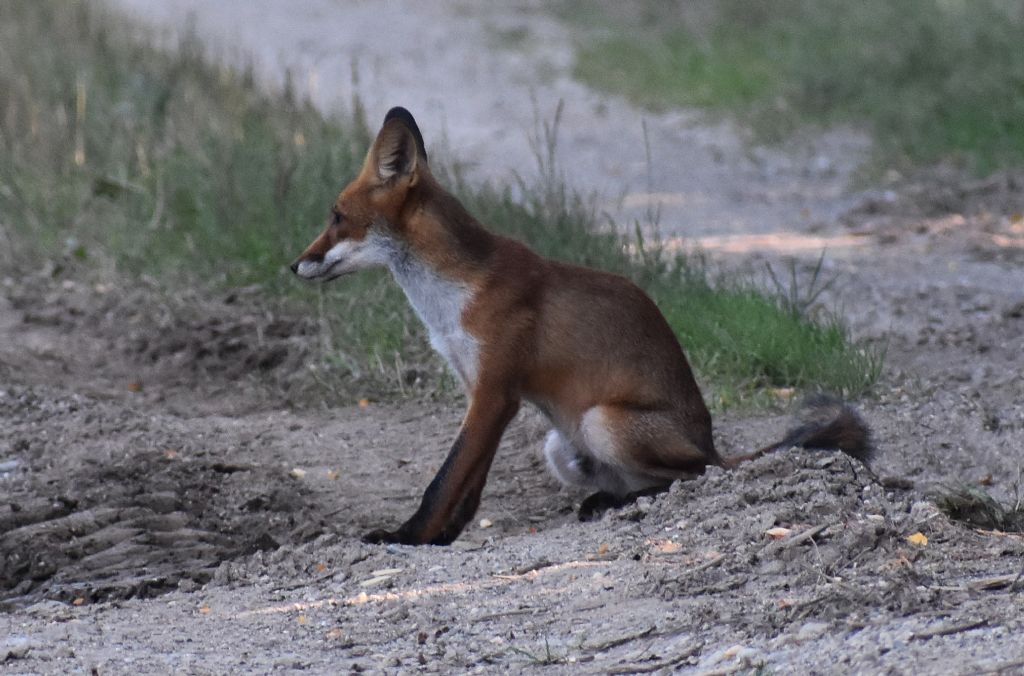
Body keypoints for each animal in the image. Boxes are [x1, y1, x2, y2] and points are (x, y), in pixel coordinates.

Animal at [290, 107, 872, 546]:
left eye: (337, 217)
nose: (294, 265)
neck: (451, 297)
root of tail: (710, 443)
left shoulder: (495, 390)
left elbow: (445, 479)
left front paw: (406, 538)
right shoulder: (483, 391)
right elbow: (468, 482)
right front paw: (444, 537)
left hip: (602, 421)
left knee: (695, 477)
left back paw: (634, 501)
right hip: (560, 446)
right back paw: (606, 499)